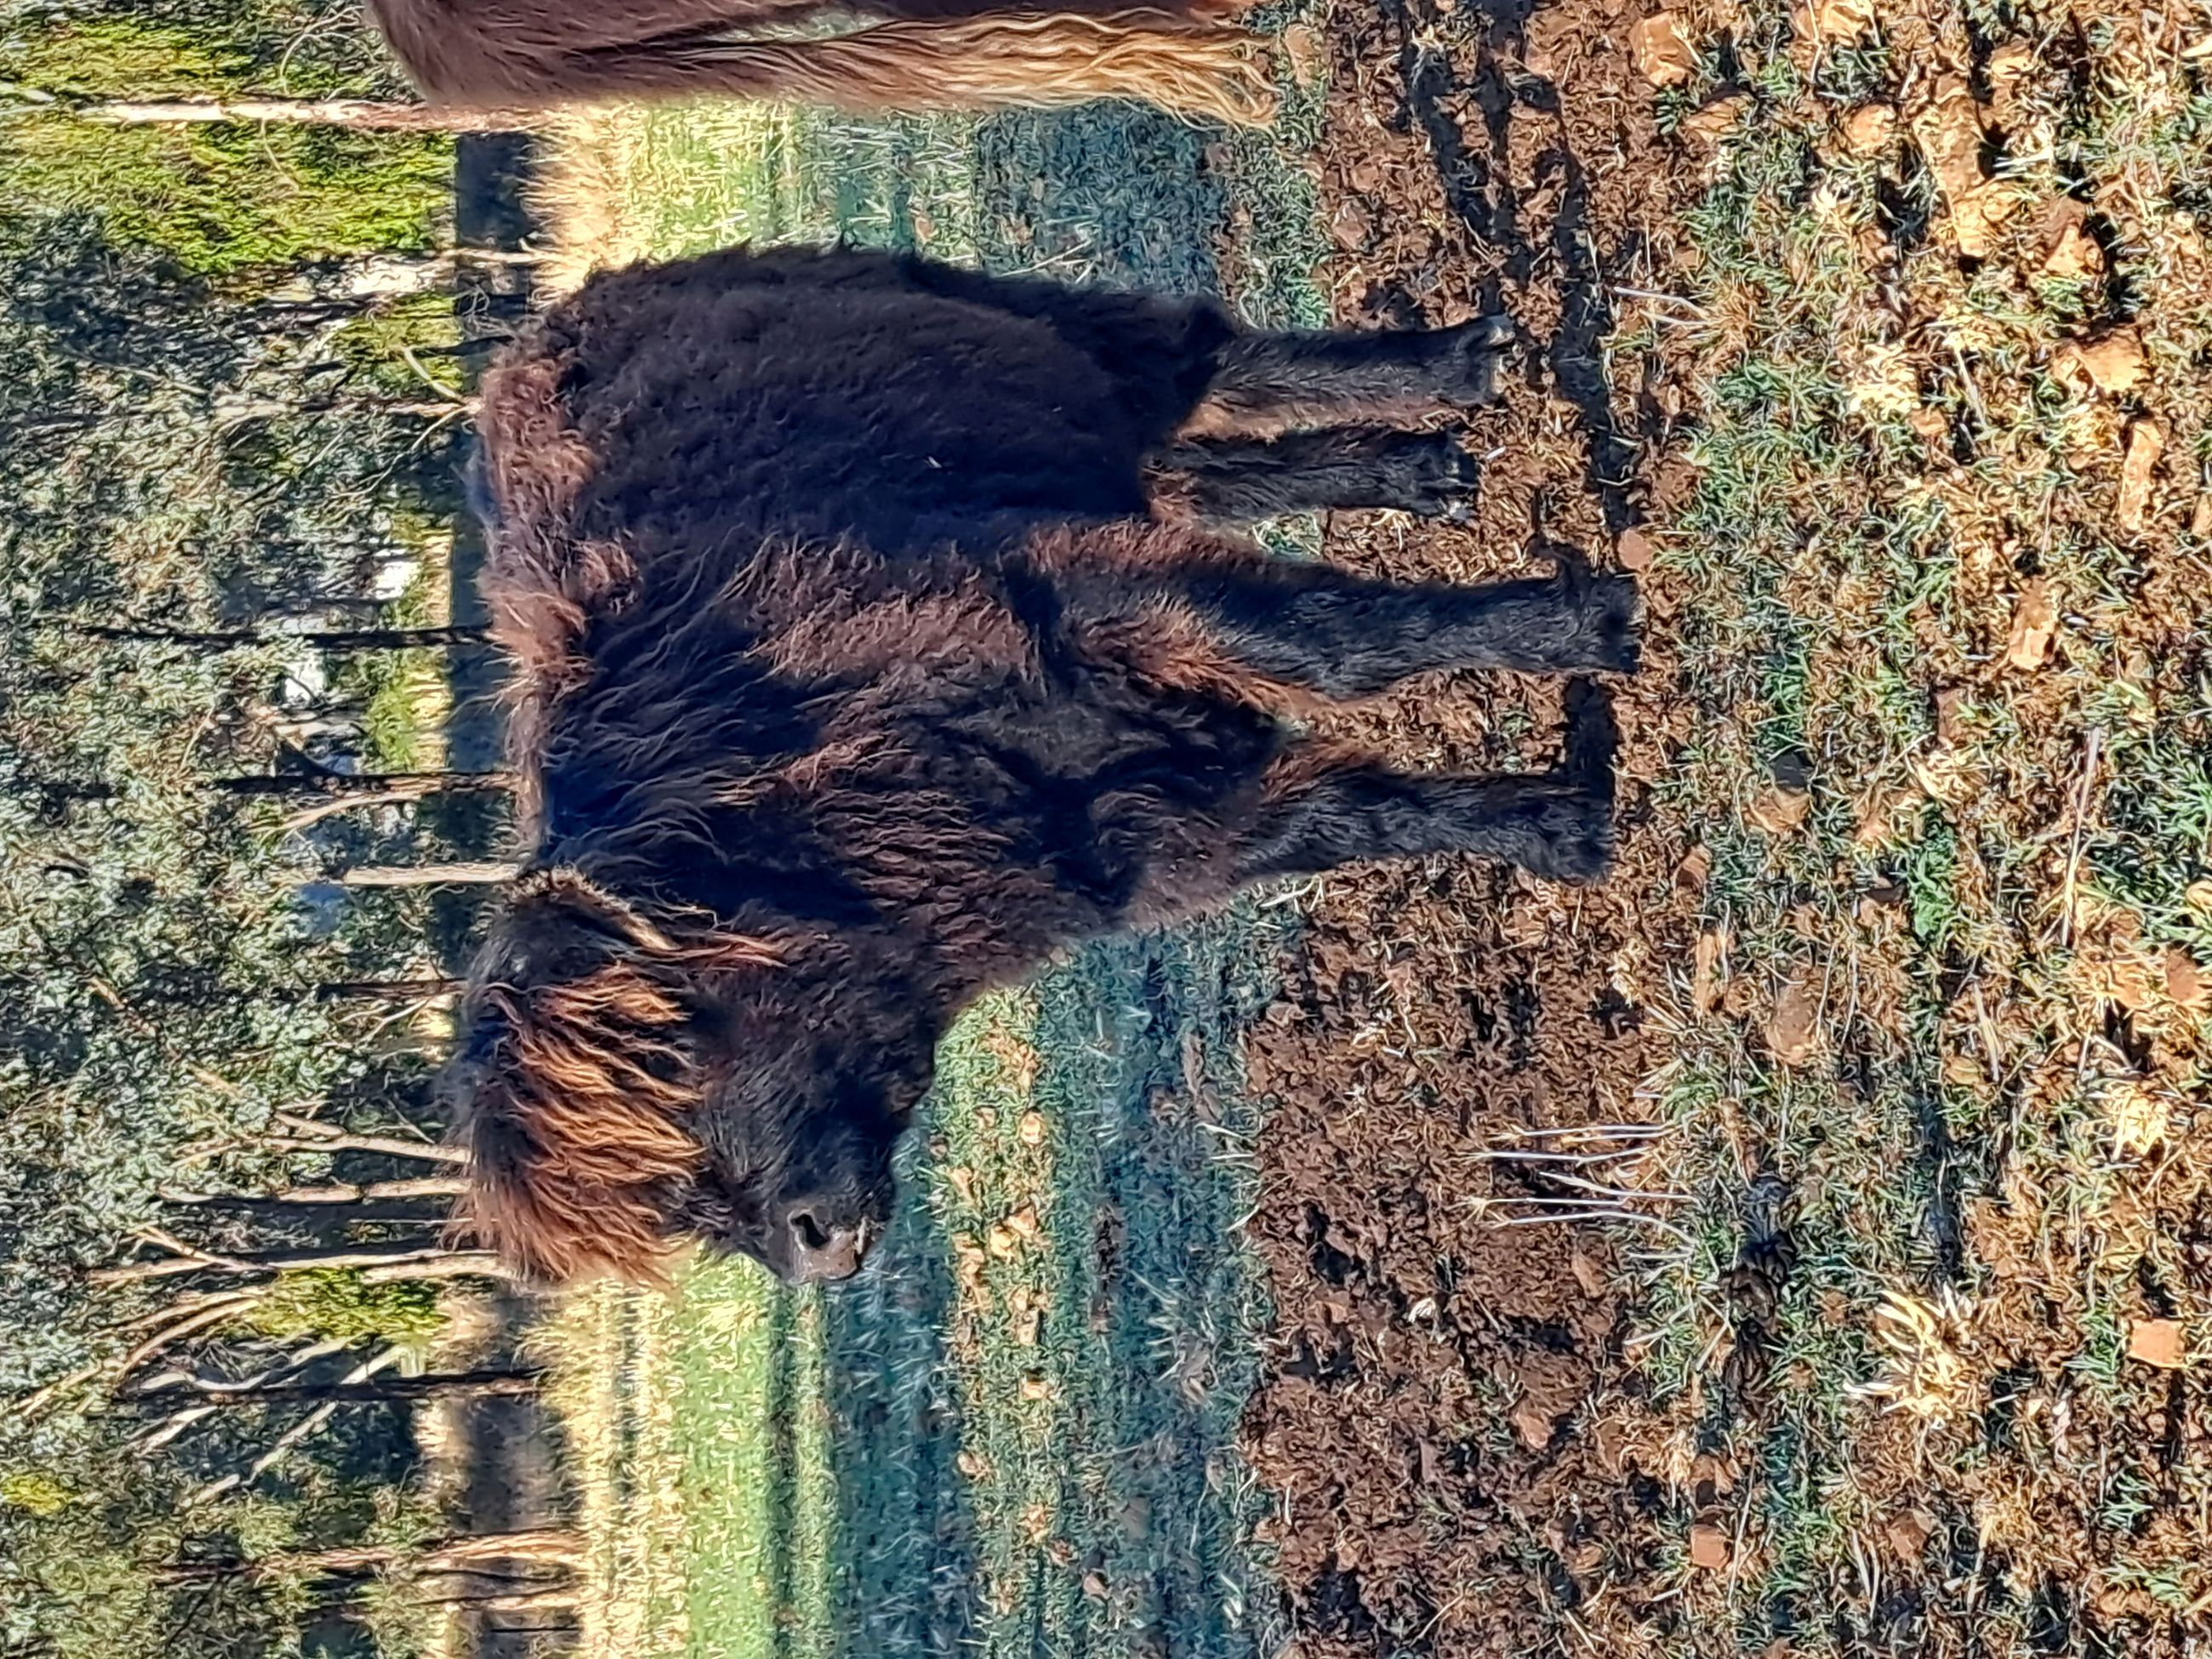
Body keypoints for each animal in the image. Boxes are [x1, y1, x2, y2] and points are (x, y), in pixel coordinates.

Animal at [449, 244, 1638, 1289]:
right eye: (681, 1211)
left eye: (673, 1058)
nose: (811, 1251)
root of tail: (536, 337)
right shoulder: (1157, 837)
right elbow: (1350, 811)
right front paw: (1558, 831)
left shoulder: (1080, 591)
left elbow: (1329, 641)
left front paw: (1586, 626)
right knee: (1211, 467)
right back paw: (1421, 470)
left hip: (1045, 329)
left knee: (1218, 365)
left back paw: (1458, 364)